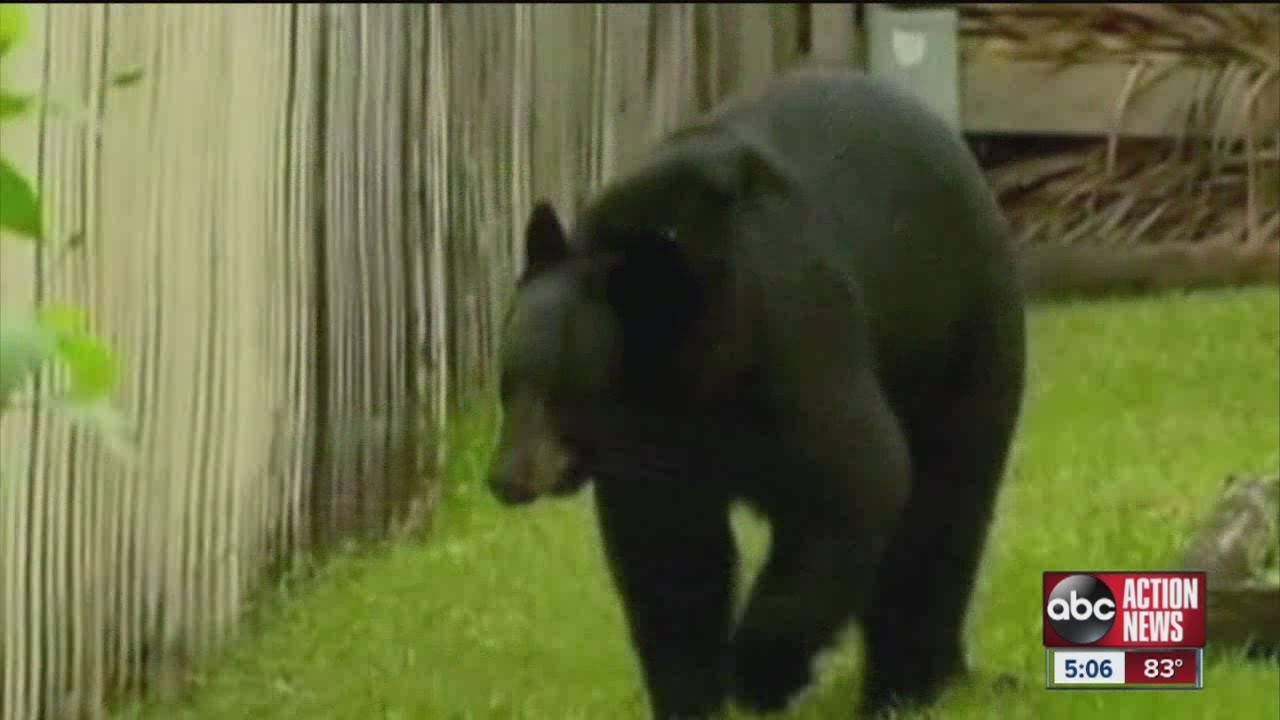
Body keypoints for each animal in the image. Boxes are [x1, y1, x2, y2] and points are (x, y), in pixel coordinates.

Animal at [486, 66, 1027, 719]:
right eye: (508, 385)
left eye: (564, 393)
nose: (506, 477)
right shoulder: (657, 451)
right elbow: (671, 561)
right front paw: (694, 697)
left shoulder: (793, 338)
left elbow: (856, 476)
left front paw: (760, 673)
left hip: (963, 343)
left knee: (943, 508)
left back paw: (906, 686)